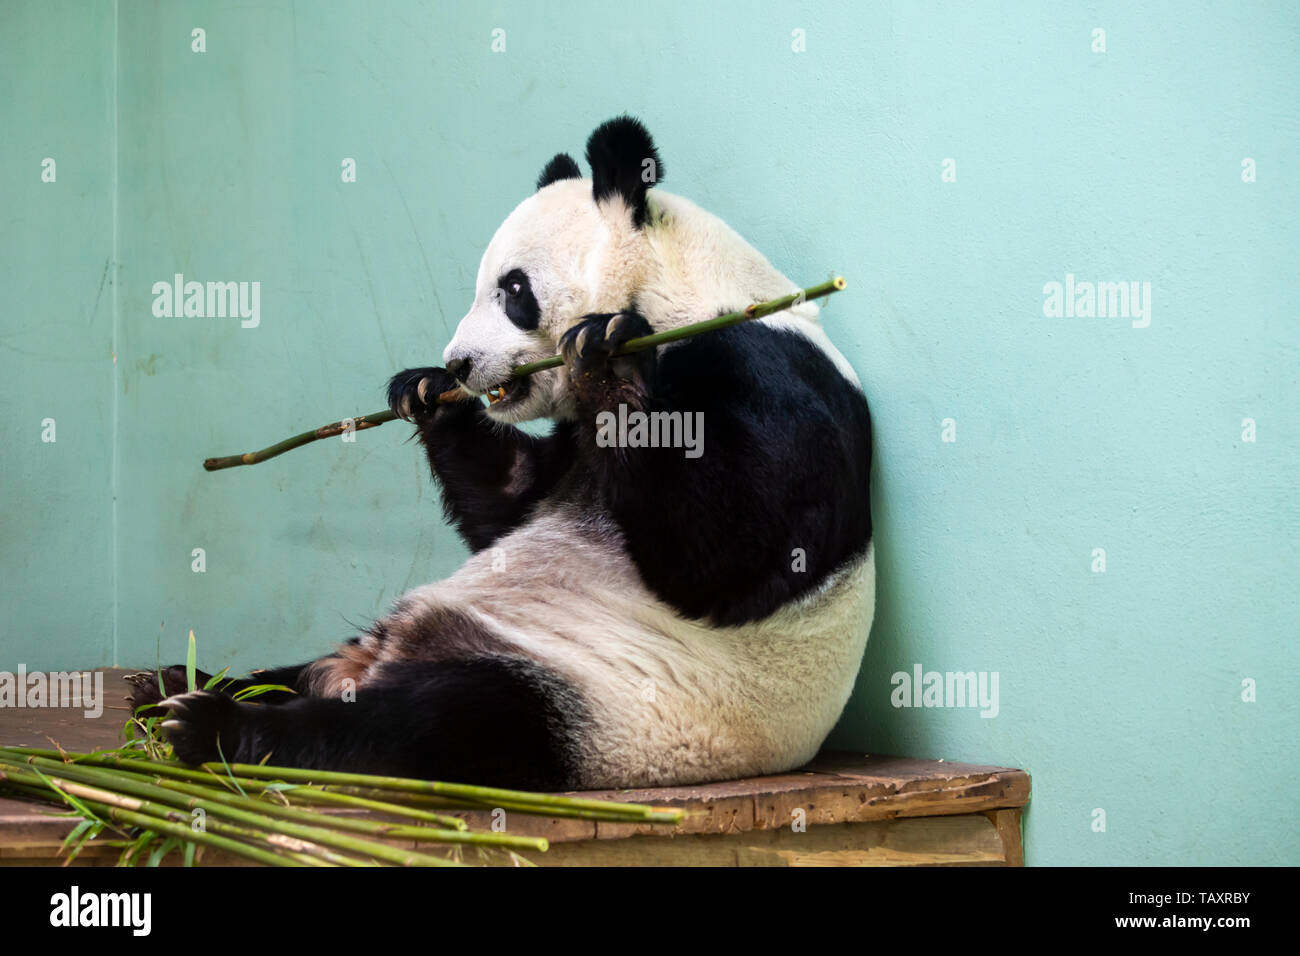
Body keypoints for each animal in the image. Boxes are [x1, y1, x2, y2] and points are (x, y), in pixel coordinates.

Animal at [127, 117, 875, 791]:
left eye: (513, 289)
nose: (461, 362)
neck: (687, 292)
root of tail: (380, 660)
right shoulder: (573, 448)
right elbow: (514, 501)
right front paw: (425, 391)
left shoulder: (768, 374)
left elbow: (731, 555)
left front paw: (606, 355)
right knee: (292, 677)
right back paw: (169, 683)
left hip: (586, 698)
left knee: (433, 722)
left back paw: (213, 725)